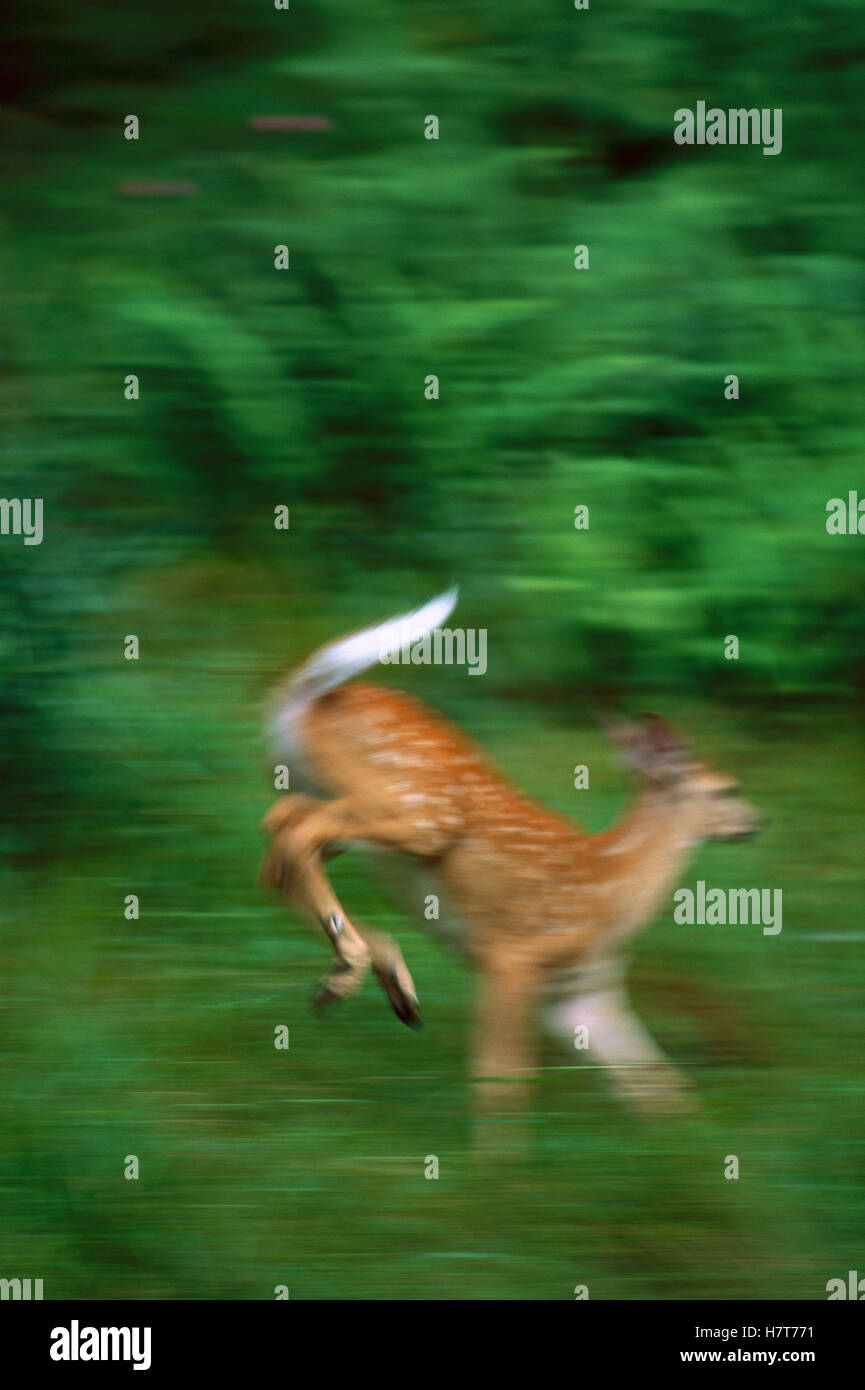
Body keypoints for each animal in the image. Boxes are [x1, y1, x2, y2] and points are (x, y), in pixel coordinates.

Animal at [259, 590, 763, 1135]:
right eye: (726, 789)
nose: (756, 821)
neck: (612, 889)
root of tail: (304, 698)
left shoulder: (583, 994)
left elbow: (658, 1082)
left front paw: (691, 1140)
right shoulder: (513, 956)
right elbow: (503, 1079)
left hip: (351, 808)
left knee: (280, 838)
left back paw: (383, 984)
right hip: (417, 815)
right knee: (296, 832)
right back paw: (353, 966)